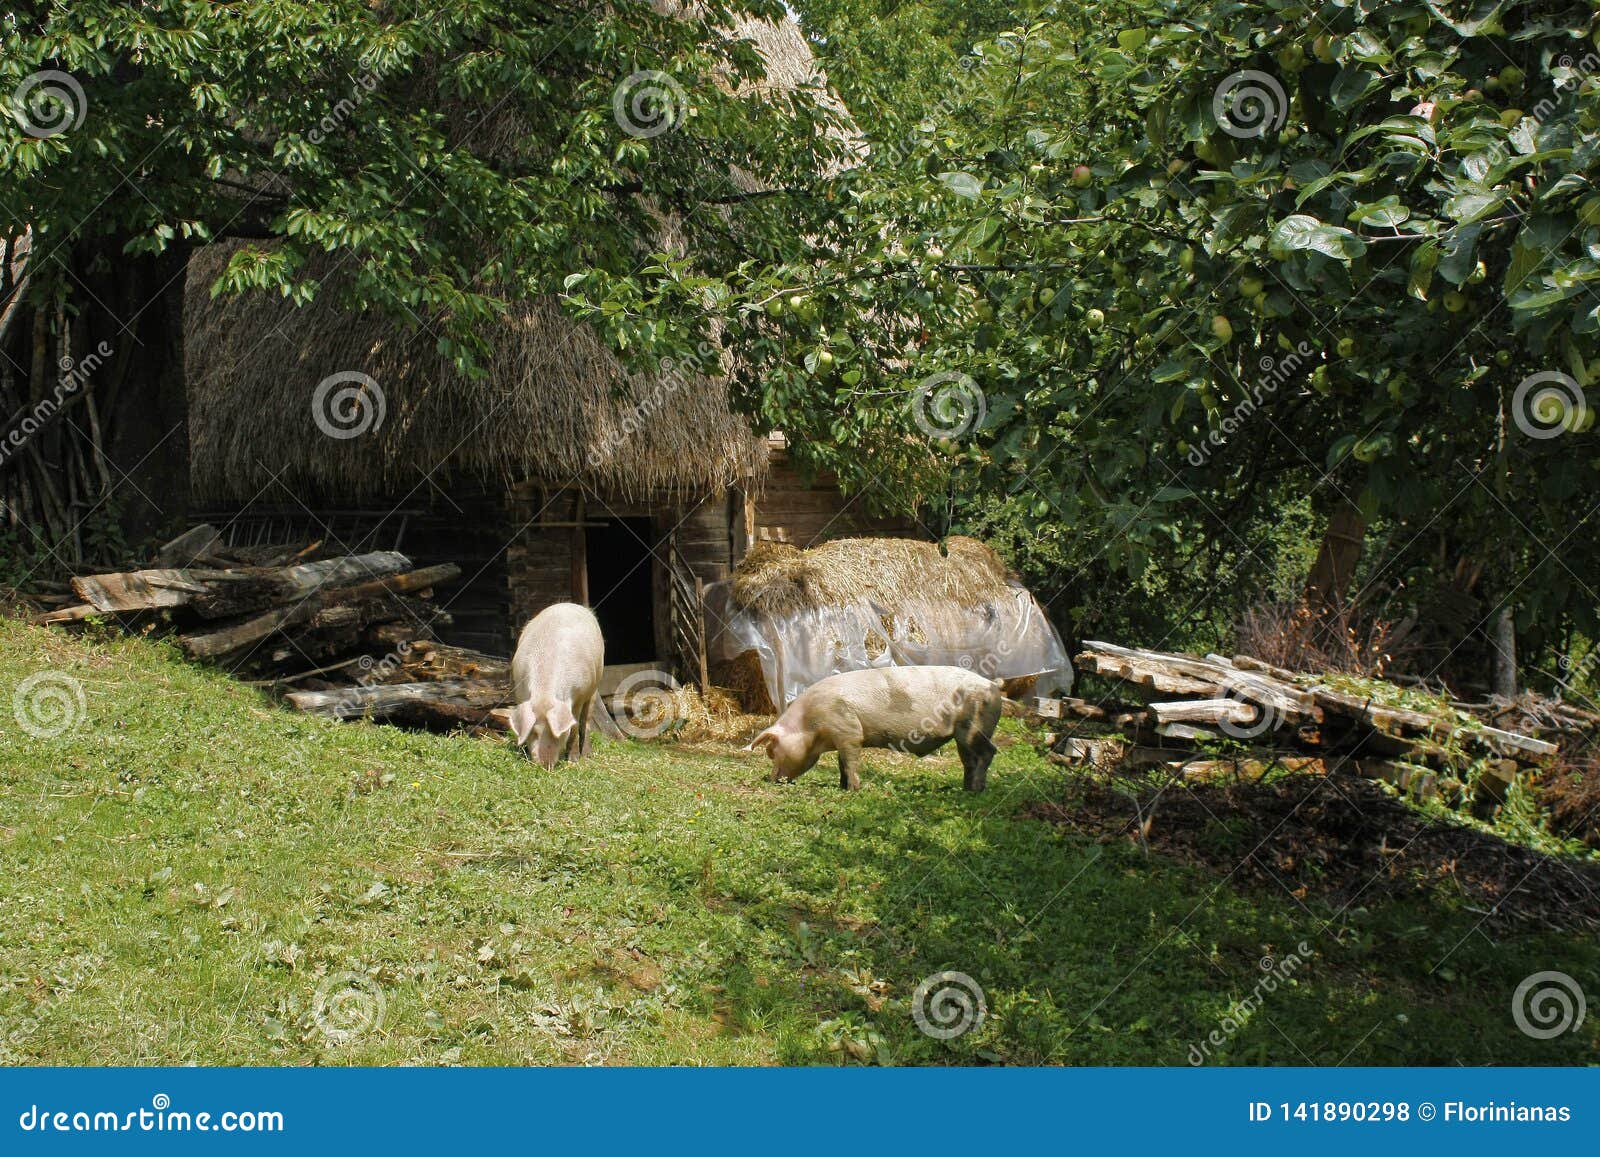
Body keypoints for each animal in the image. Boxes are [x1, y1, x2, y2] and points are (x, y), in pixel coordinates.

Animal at [508, 602, 604, 768]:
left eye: (558, 734)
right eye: (534, 732)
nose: (544, 765)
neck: (544, 692)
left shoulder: (579, 695)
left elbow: (574, 725)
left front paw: (573, 760)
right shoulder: (520, 693)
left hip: (595, 683)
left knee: (585, 721)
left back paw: (586, 755)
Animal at [747, 665, 1004, 792]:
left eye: (772, 752)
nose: (769, 779)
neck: (810, 726)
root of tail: (992, 685)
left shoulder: (848, 731)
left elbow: (850, 761)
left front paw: (853, 790)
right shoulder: (841, 737)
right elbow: (841, 763)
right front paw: (842, 787)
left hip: (974, 726)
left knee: (988, 752)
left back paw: (977, 790)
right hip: (964, 735)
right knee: (969, 759)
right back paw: (966, 788)